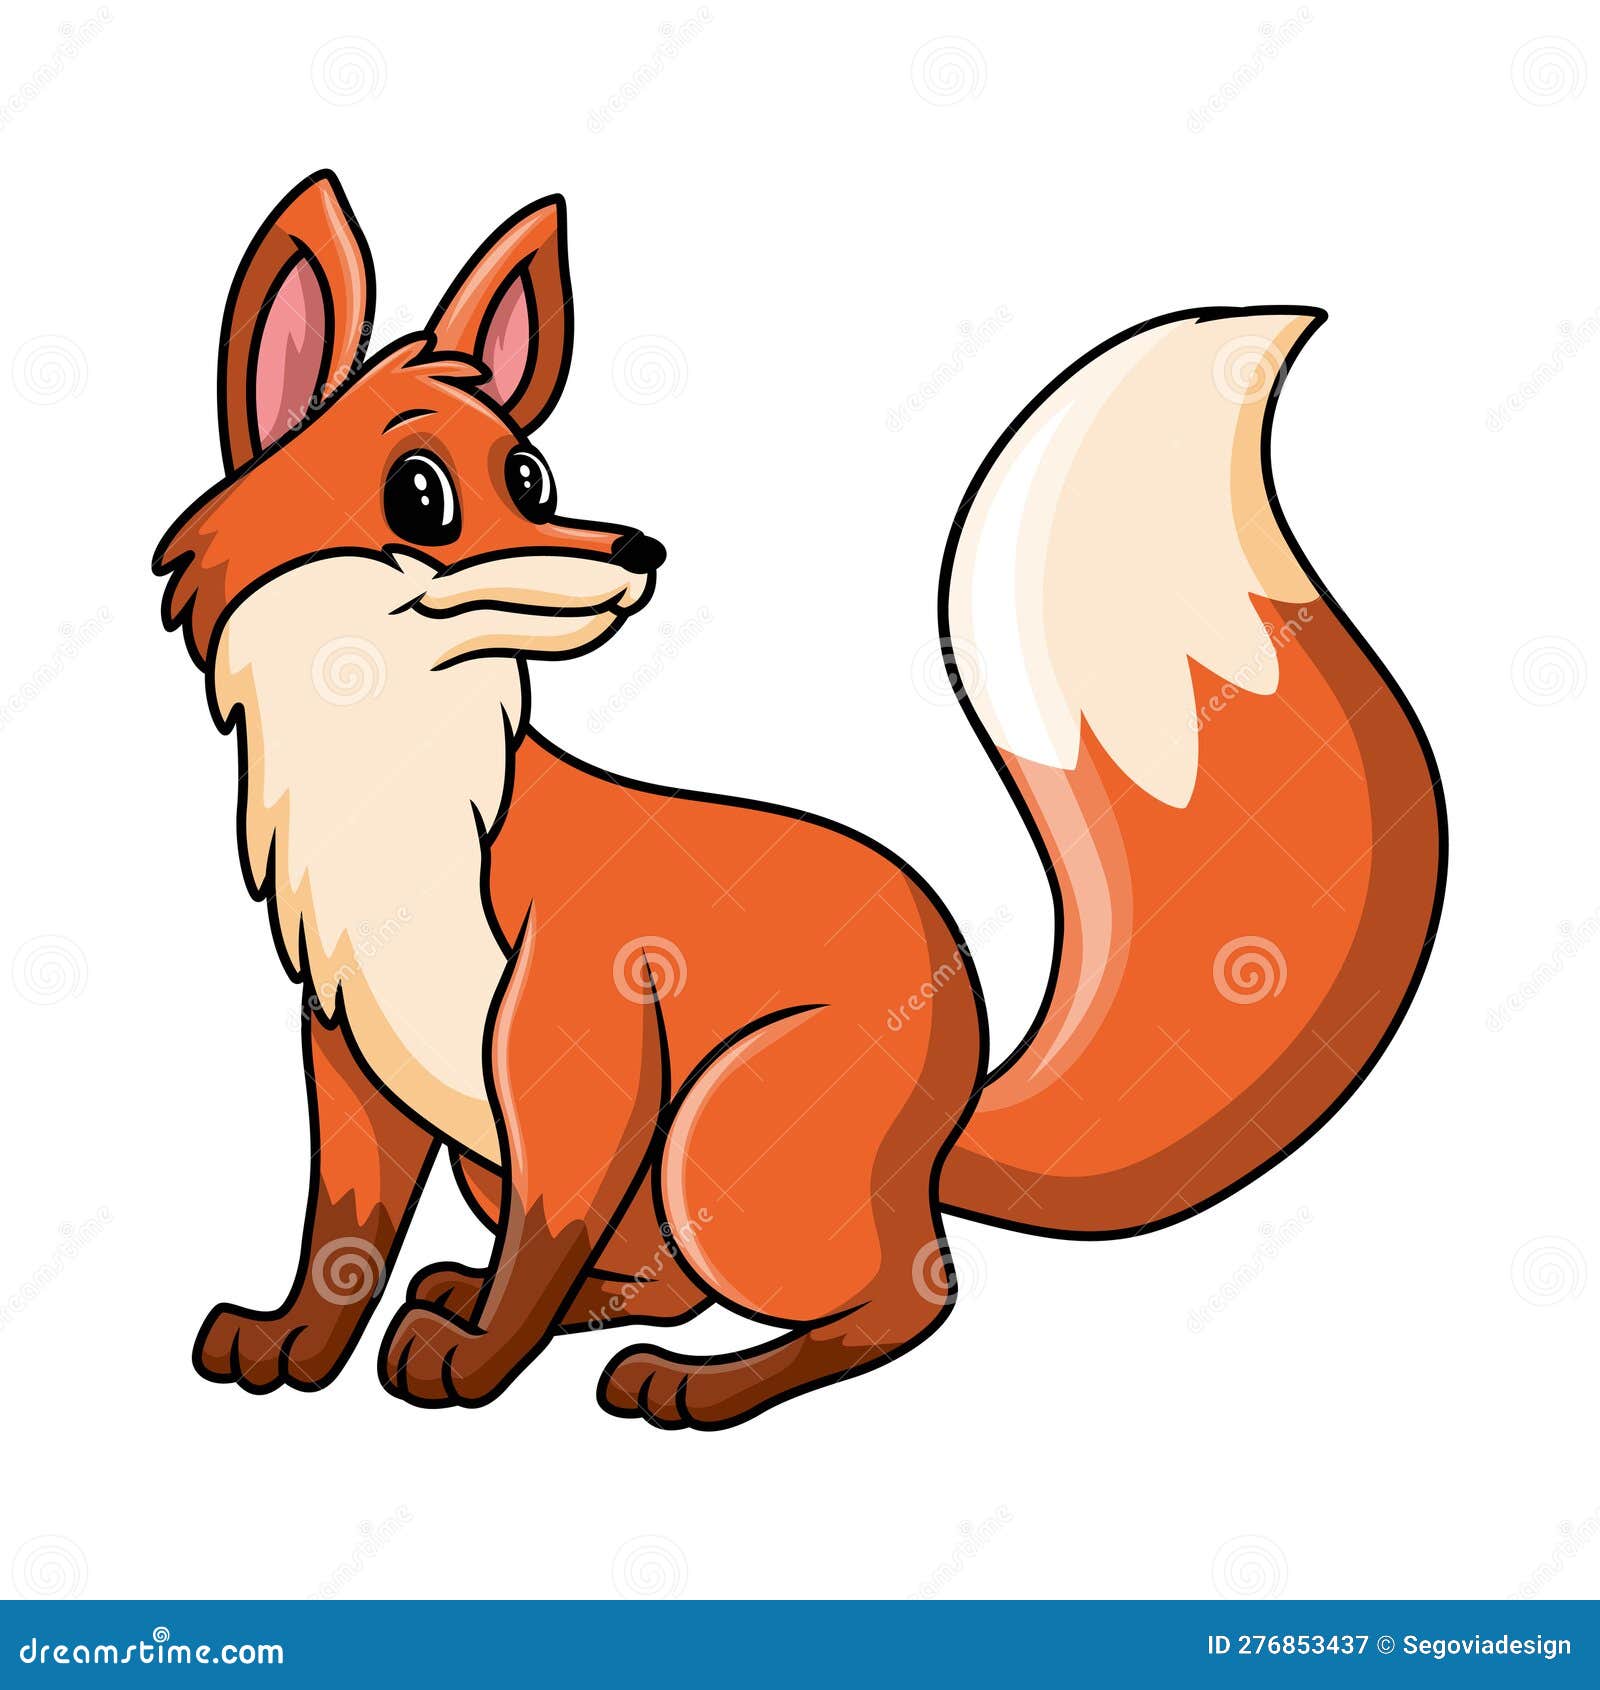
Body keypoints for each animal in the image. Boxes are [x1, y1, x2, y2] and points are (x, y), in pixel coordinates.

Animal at [155, 170, 1444, 1429]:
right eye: (419, 496)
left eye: (530, 475)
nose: (635, 550)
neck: (397, 804)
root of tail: (955, 1101)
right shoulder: (346, 1048)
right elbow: (346, 1231)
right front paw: (296, 1343)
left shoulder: (580, 1049)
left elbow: (537, 1243)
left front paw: (475, 1364)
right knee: (673, 1283)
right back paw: (500, 1300)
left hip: (713, 1131)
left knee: (905, 1296)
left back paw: (690, 1384)